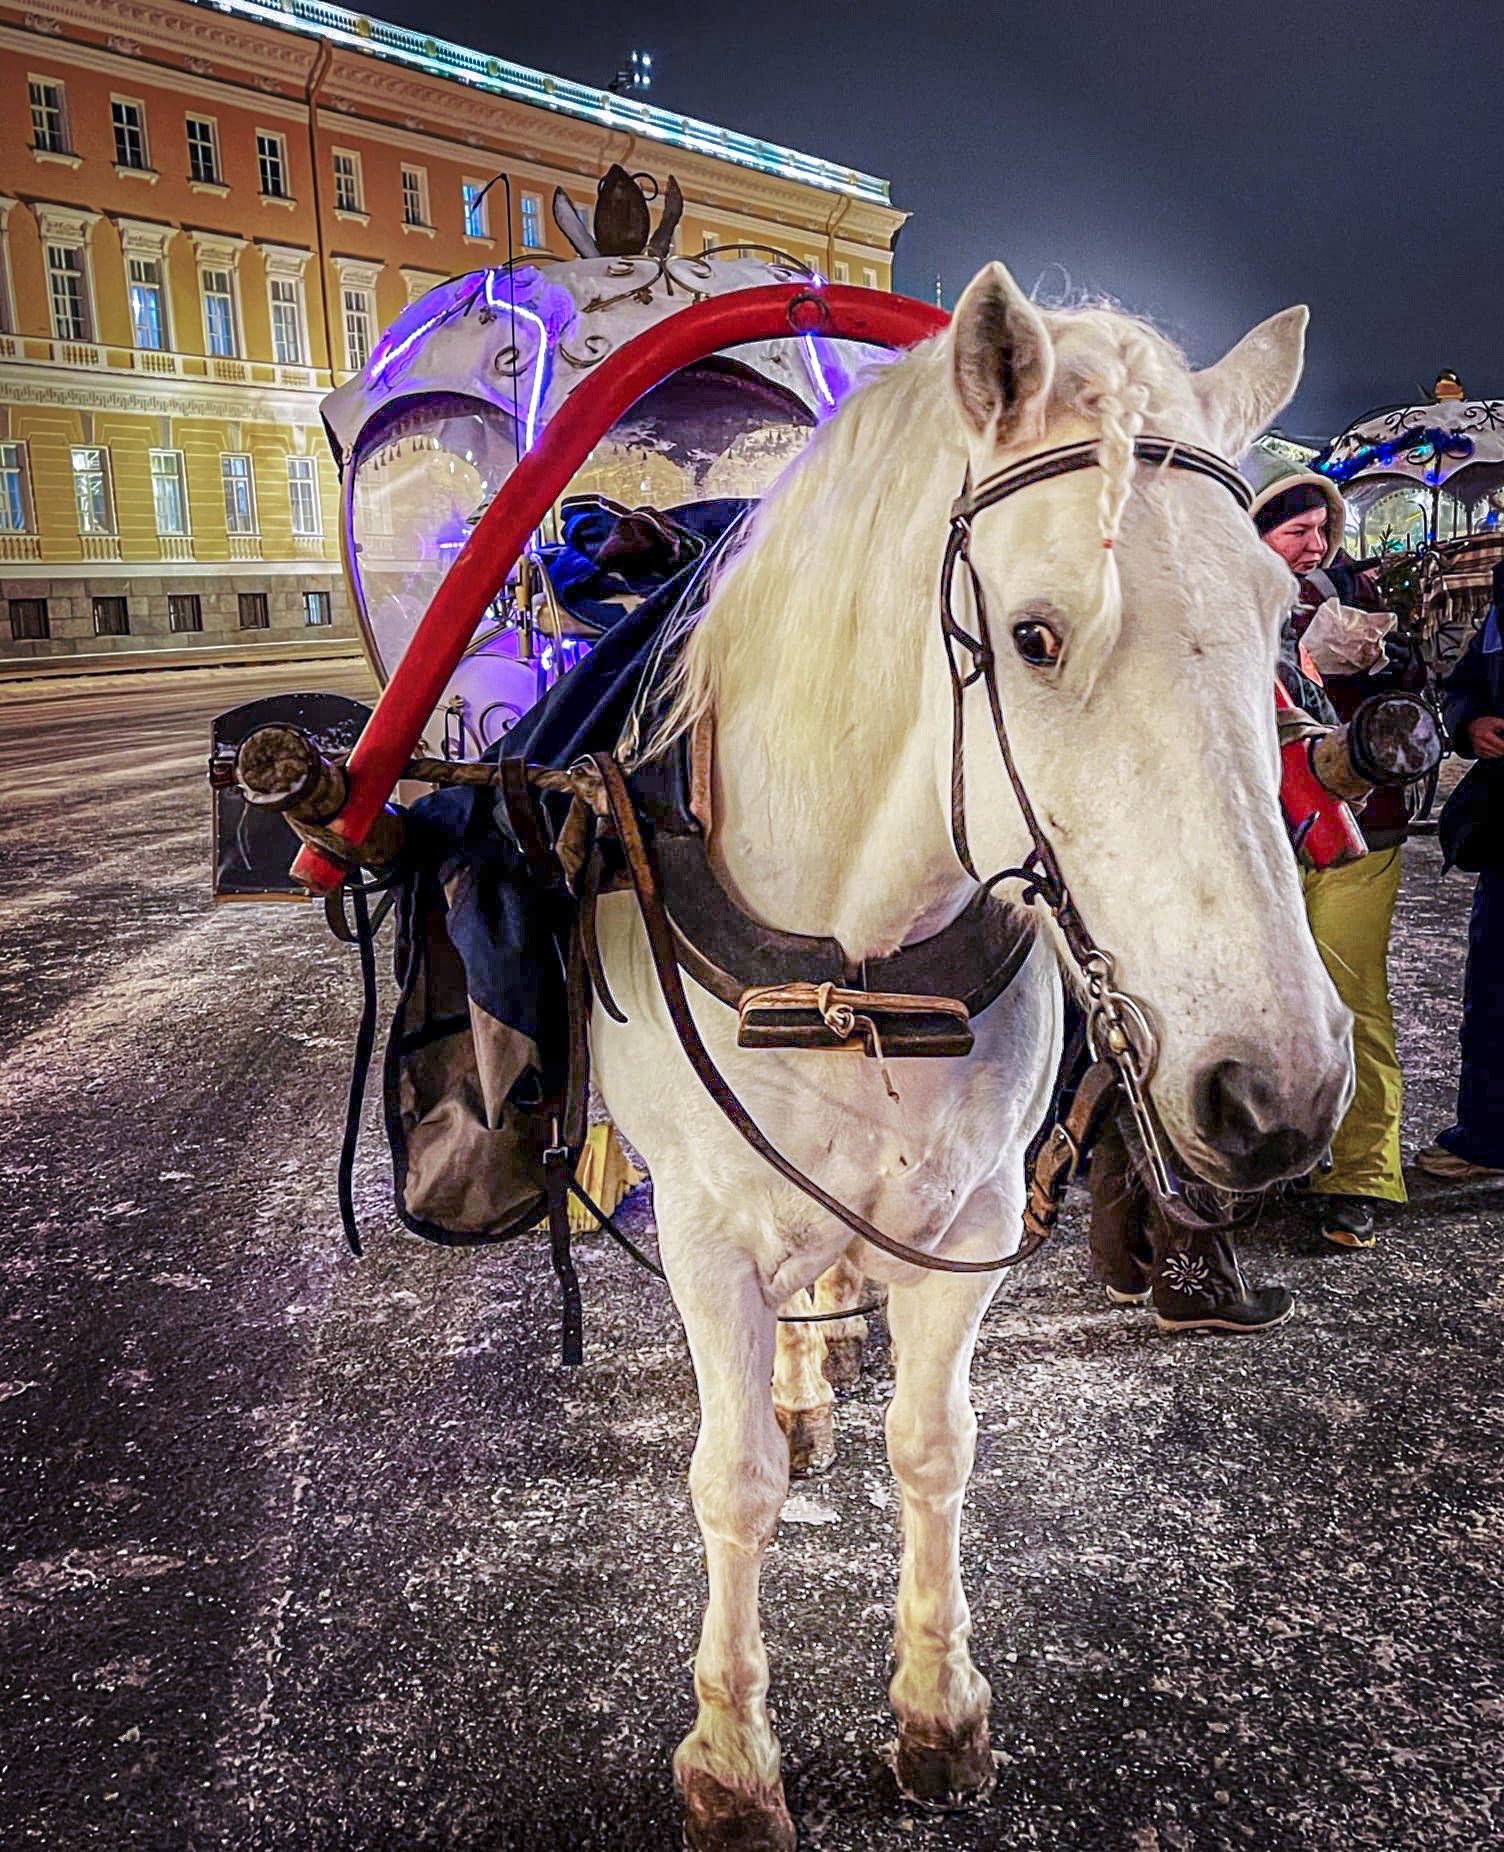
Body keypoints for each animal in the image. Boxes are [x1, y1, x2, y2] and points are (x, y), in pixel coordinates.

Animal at [589, 264, 1348, 1852]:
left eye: (1277, 617)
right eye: (1039, 636)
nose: (1280, 1092)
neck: (856, 964)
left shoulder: (970, 1222)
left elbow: (935, 1448)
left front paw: (937, 1706)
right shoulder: (701, 1233)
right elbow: (733, 1480)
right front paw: (730, 1755)